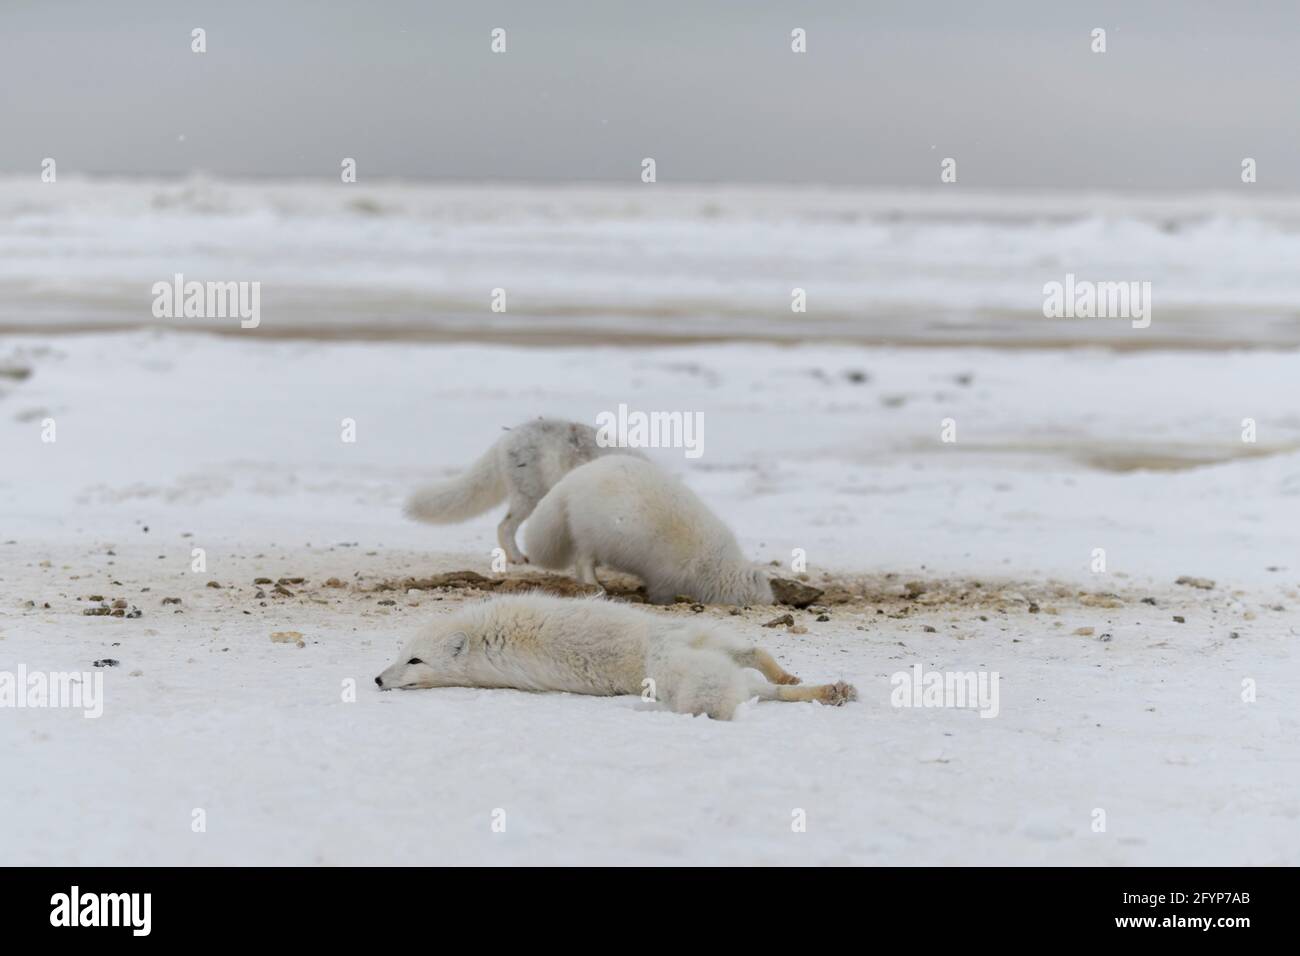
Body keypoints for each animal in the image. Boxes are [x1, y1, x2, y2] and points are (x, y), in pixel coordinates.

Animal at [374, 593, 857, 720]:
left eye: (414, 661)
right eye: (401, 656)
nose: (377, 680)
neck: (482, 635)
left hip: (689, 642)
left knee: (757, 655)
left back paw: (801, 680)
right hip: (701, 661)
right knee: (759, 678)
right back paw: (827, 690)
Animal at [524, 455, 774, 605]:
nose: (772, 603)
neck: (715, 566)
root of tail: (571, 480)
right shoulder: (666, 577)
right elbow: (660, 593)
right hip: (591, 535)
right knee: (582, 560)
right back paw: (594, 584)